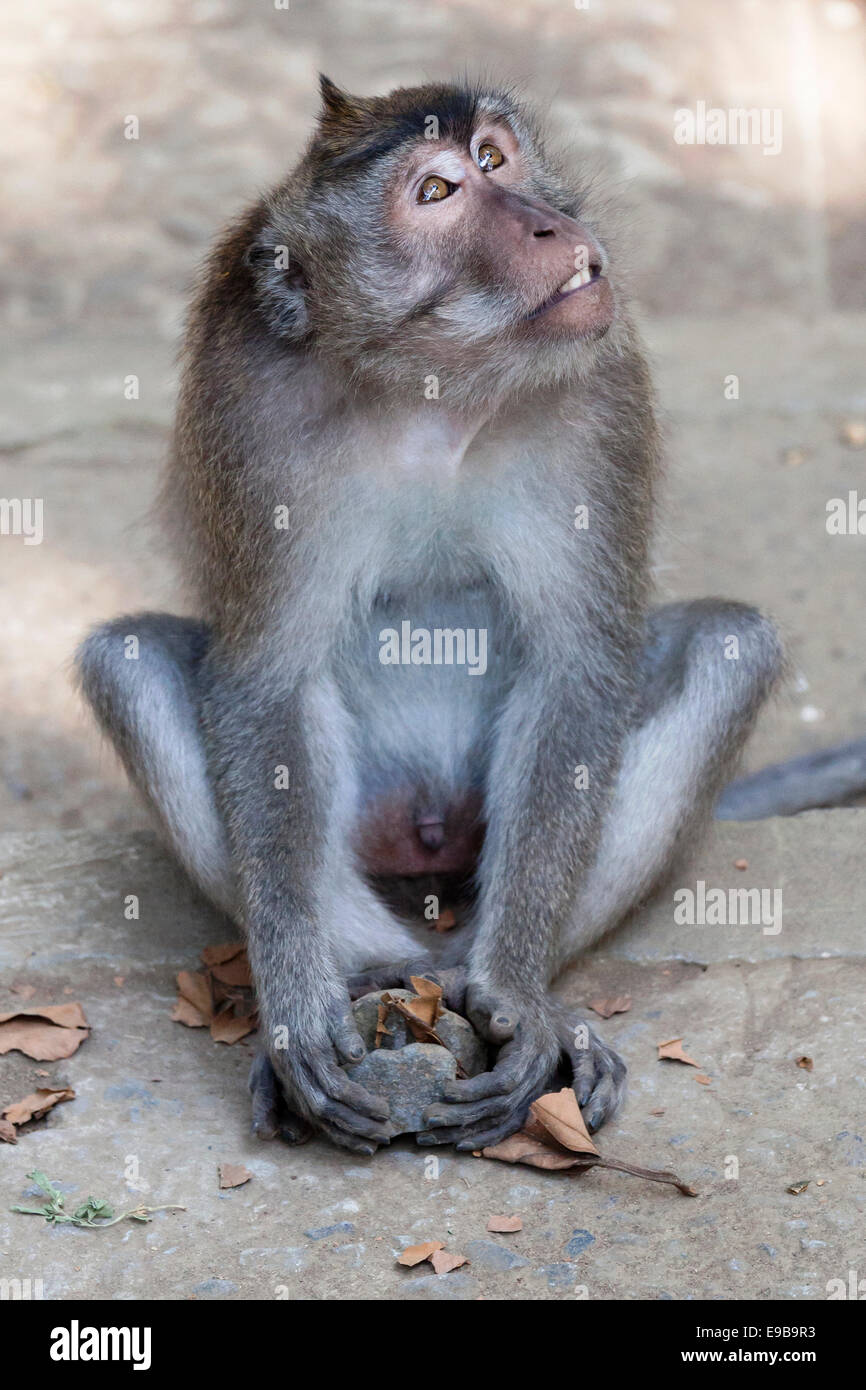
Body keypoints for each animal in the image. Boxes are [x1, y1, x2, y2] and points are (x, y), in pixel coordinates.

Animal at [76, 76, 783, 1155]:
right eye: (438, 192)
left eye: (494, 159)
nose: (547, 221)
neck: (432, 390)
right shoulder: (250, 410)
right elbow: (264, 680)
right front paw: (295, 1007)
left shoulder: (600, 386)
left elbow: (578, 669)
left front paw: (522, 1002)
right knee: (129, 659)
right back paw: (372, 975)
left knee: (726, 644)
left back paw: (514, 999)